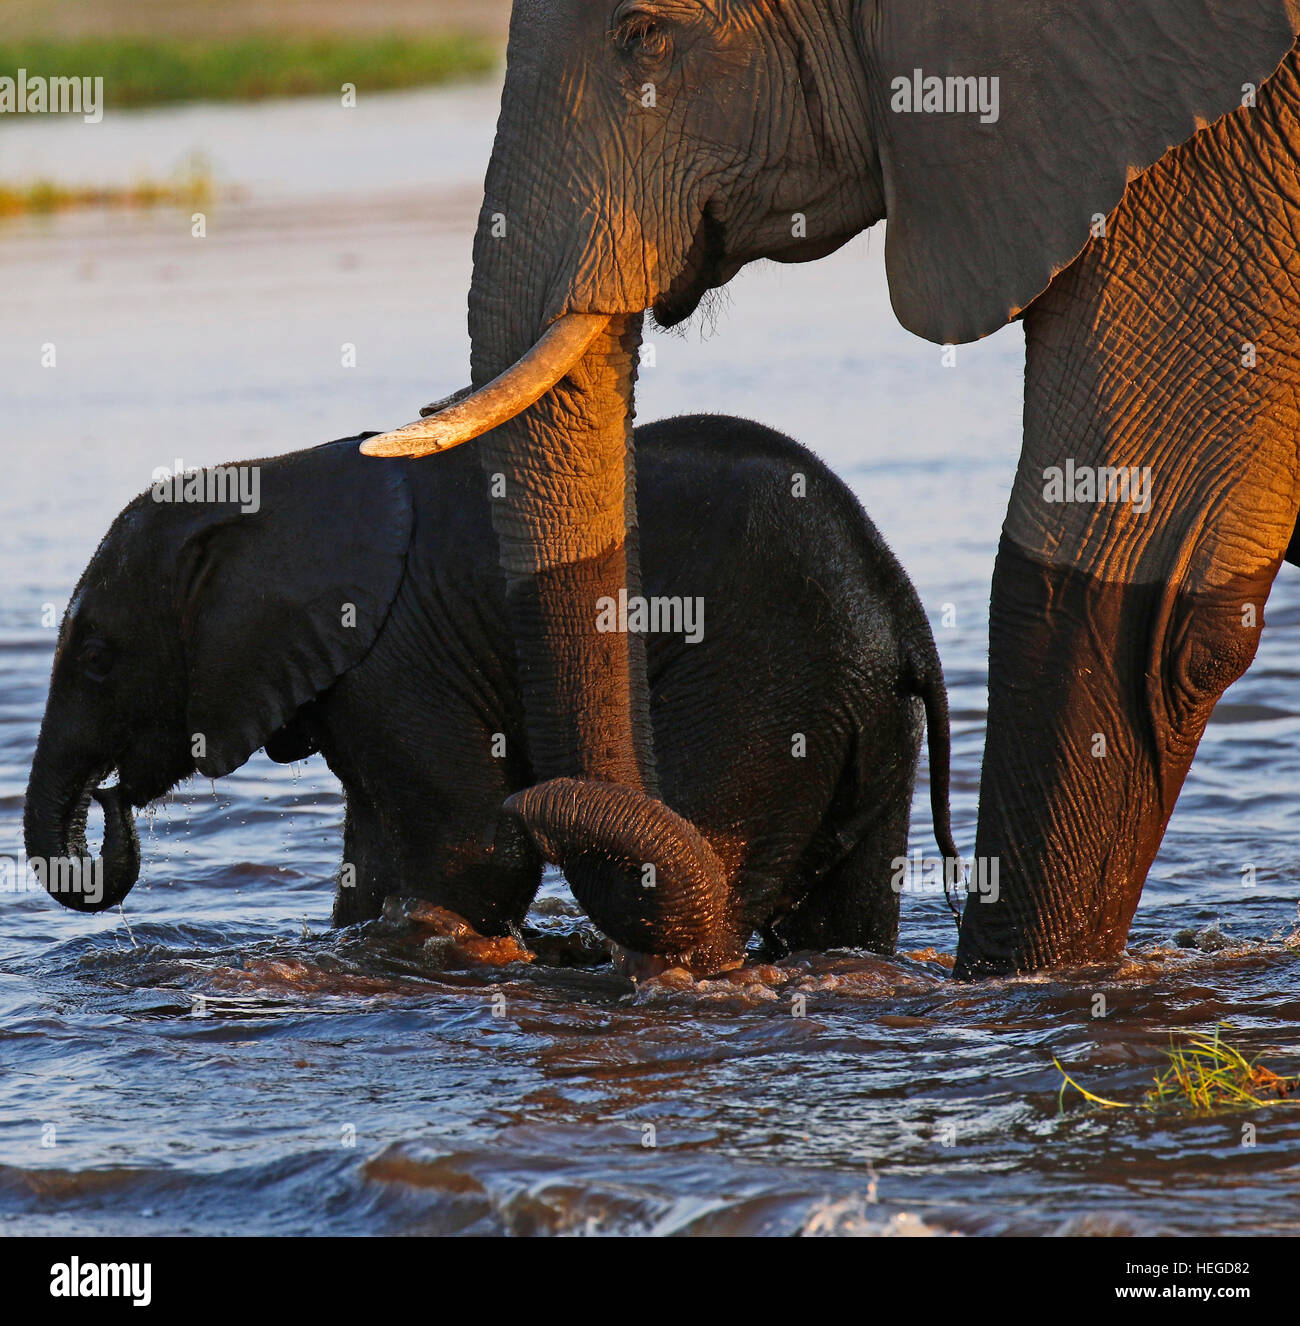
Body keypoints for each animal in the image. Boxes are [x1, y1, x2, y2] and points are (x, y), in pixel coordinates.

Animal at [24, 415, 958, 971]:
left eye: (98, 656)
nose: (110, 797)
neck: (265, 481)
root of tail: (900, 609)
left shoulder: (399, 657)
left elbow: (476, 855)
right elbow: (377, 873)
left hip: (762, 687)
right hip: (866, 715)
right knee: (841, 923)